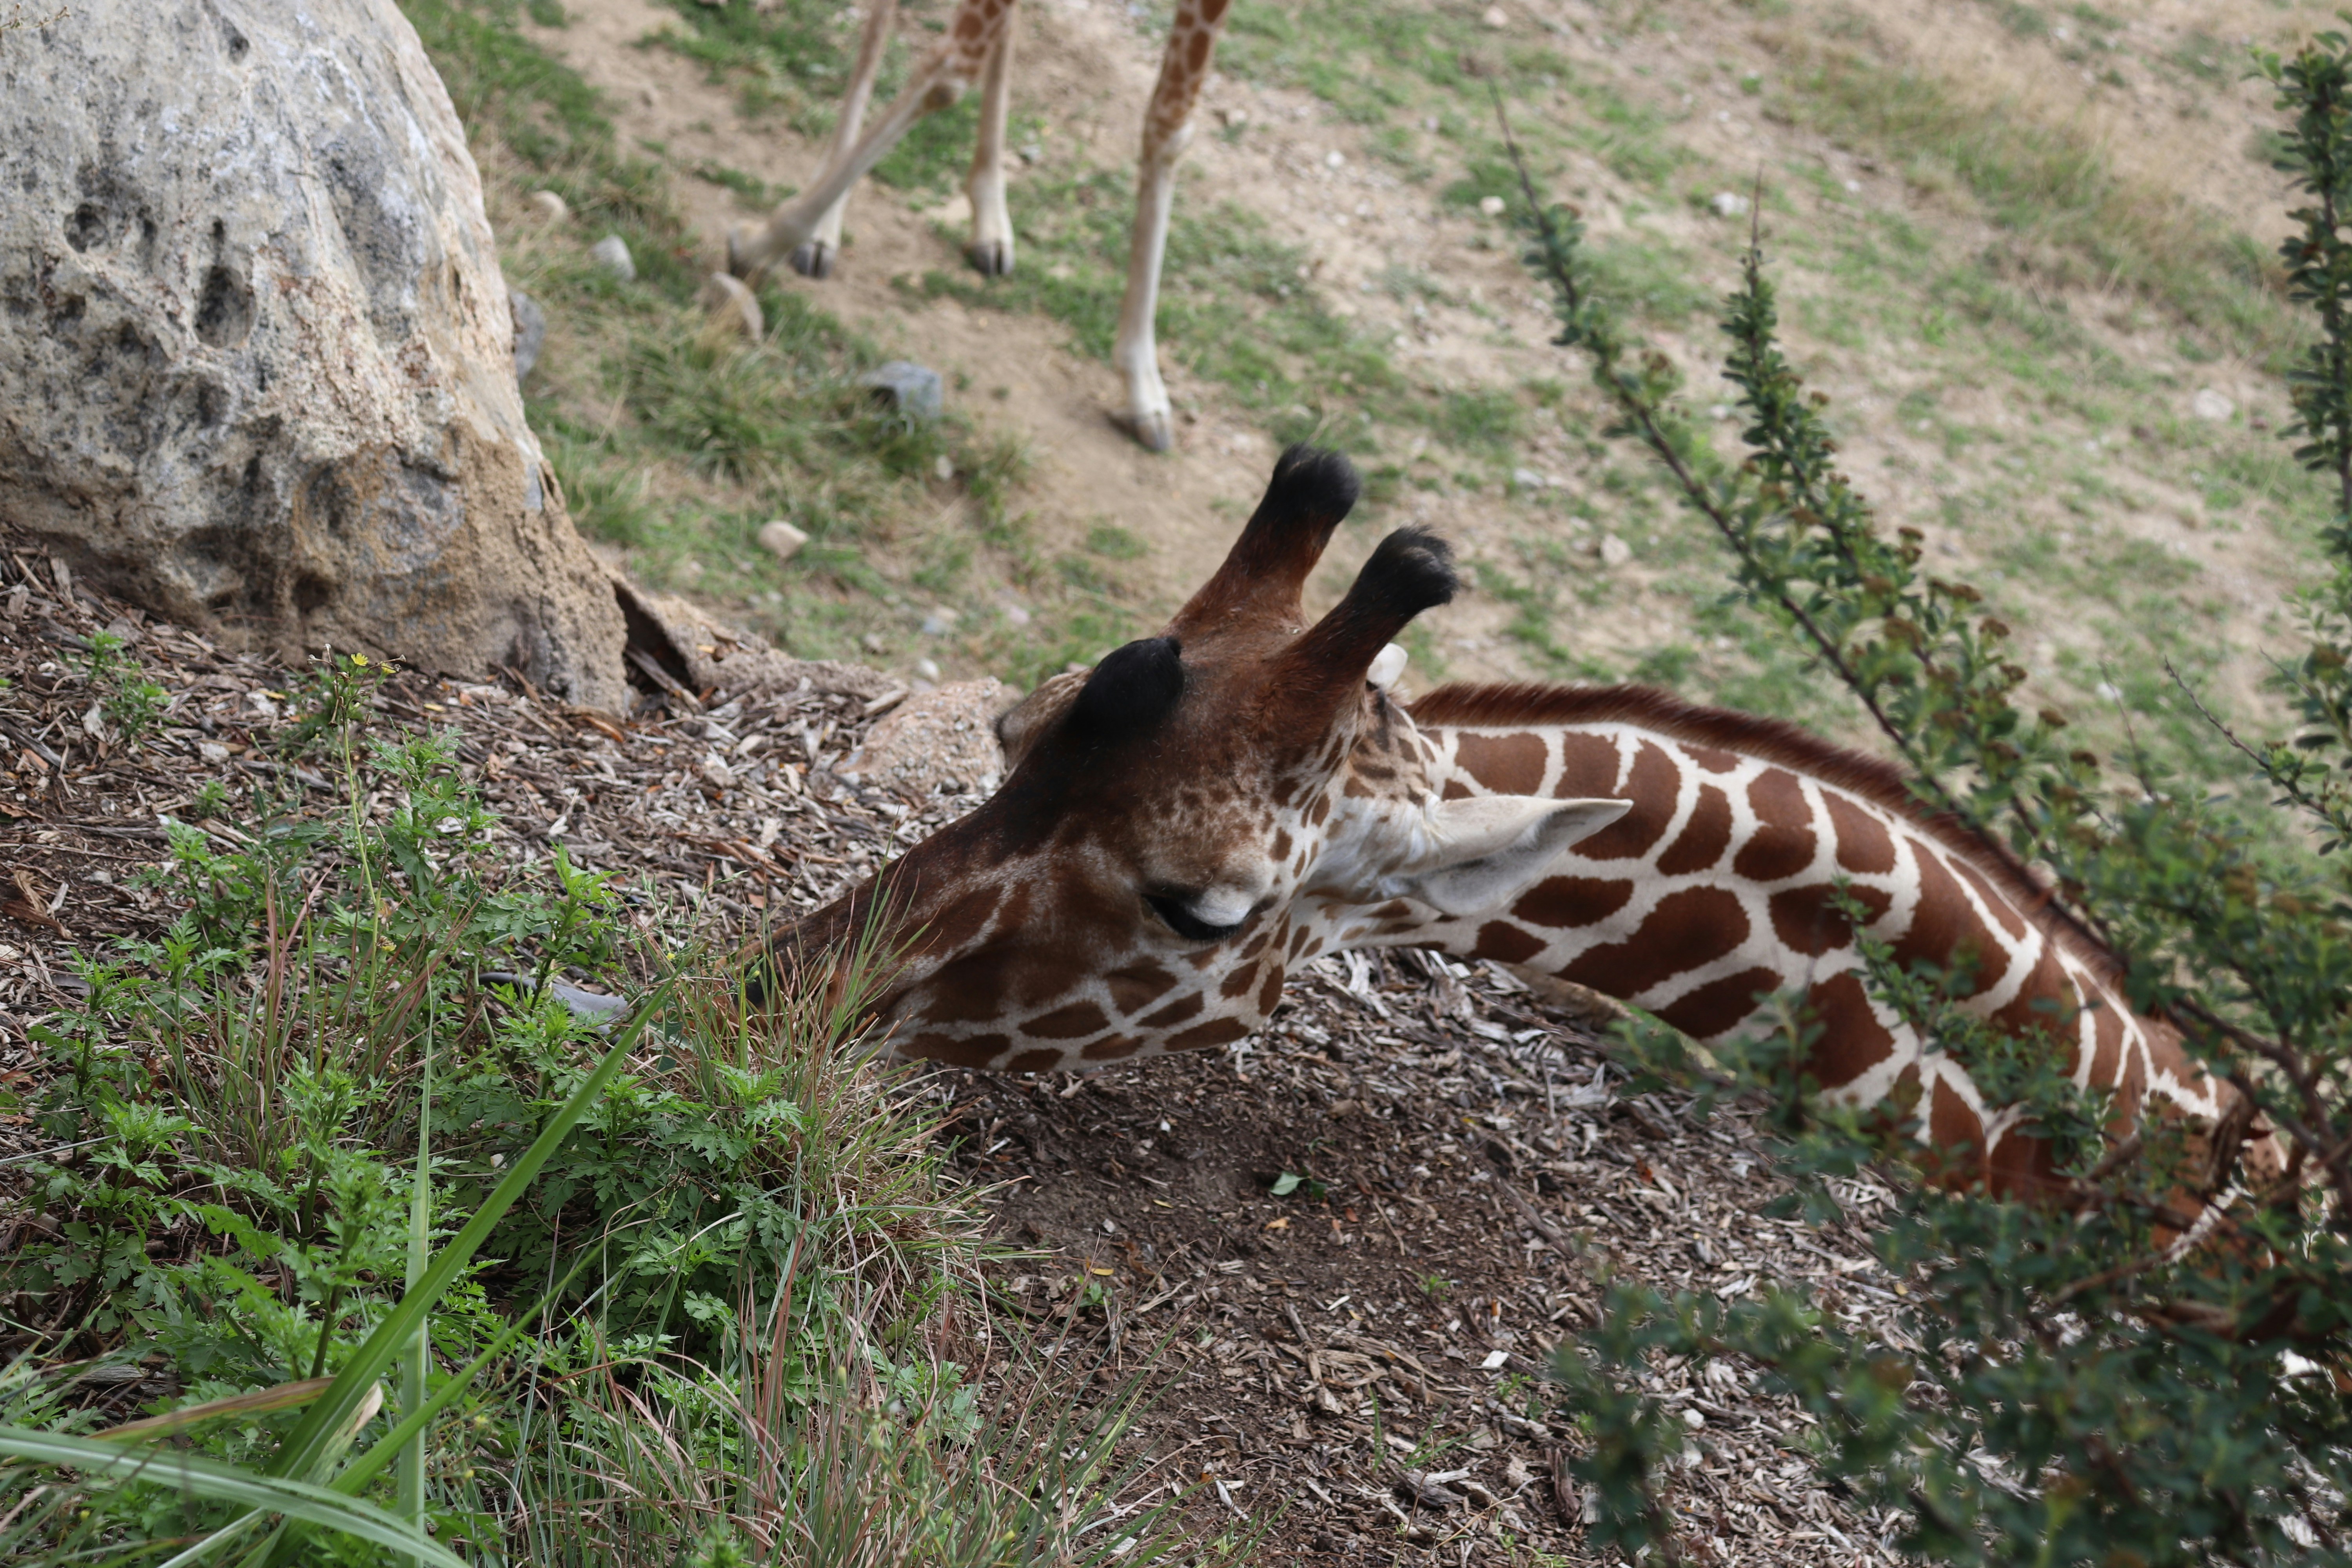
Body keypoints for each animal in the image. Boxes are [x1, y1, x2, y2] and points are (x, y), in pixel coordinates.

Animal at [720, 0, 1232, 452]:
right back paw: (824, 230)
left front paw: (1144, 389)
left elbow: (1171, 124)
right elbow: (948, 70)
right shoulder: (947, 68)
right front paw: (765, 241)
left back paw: (989, 219)